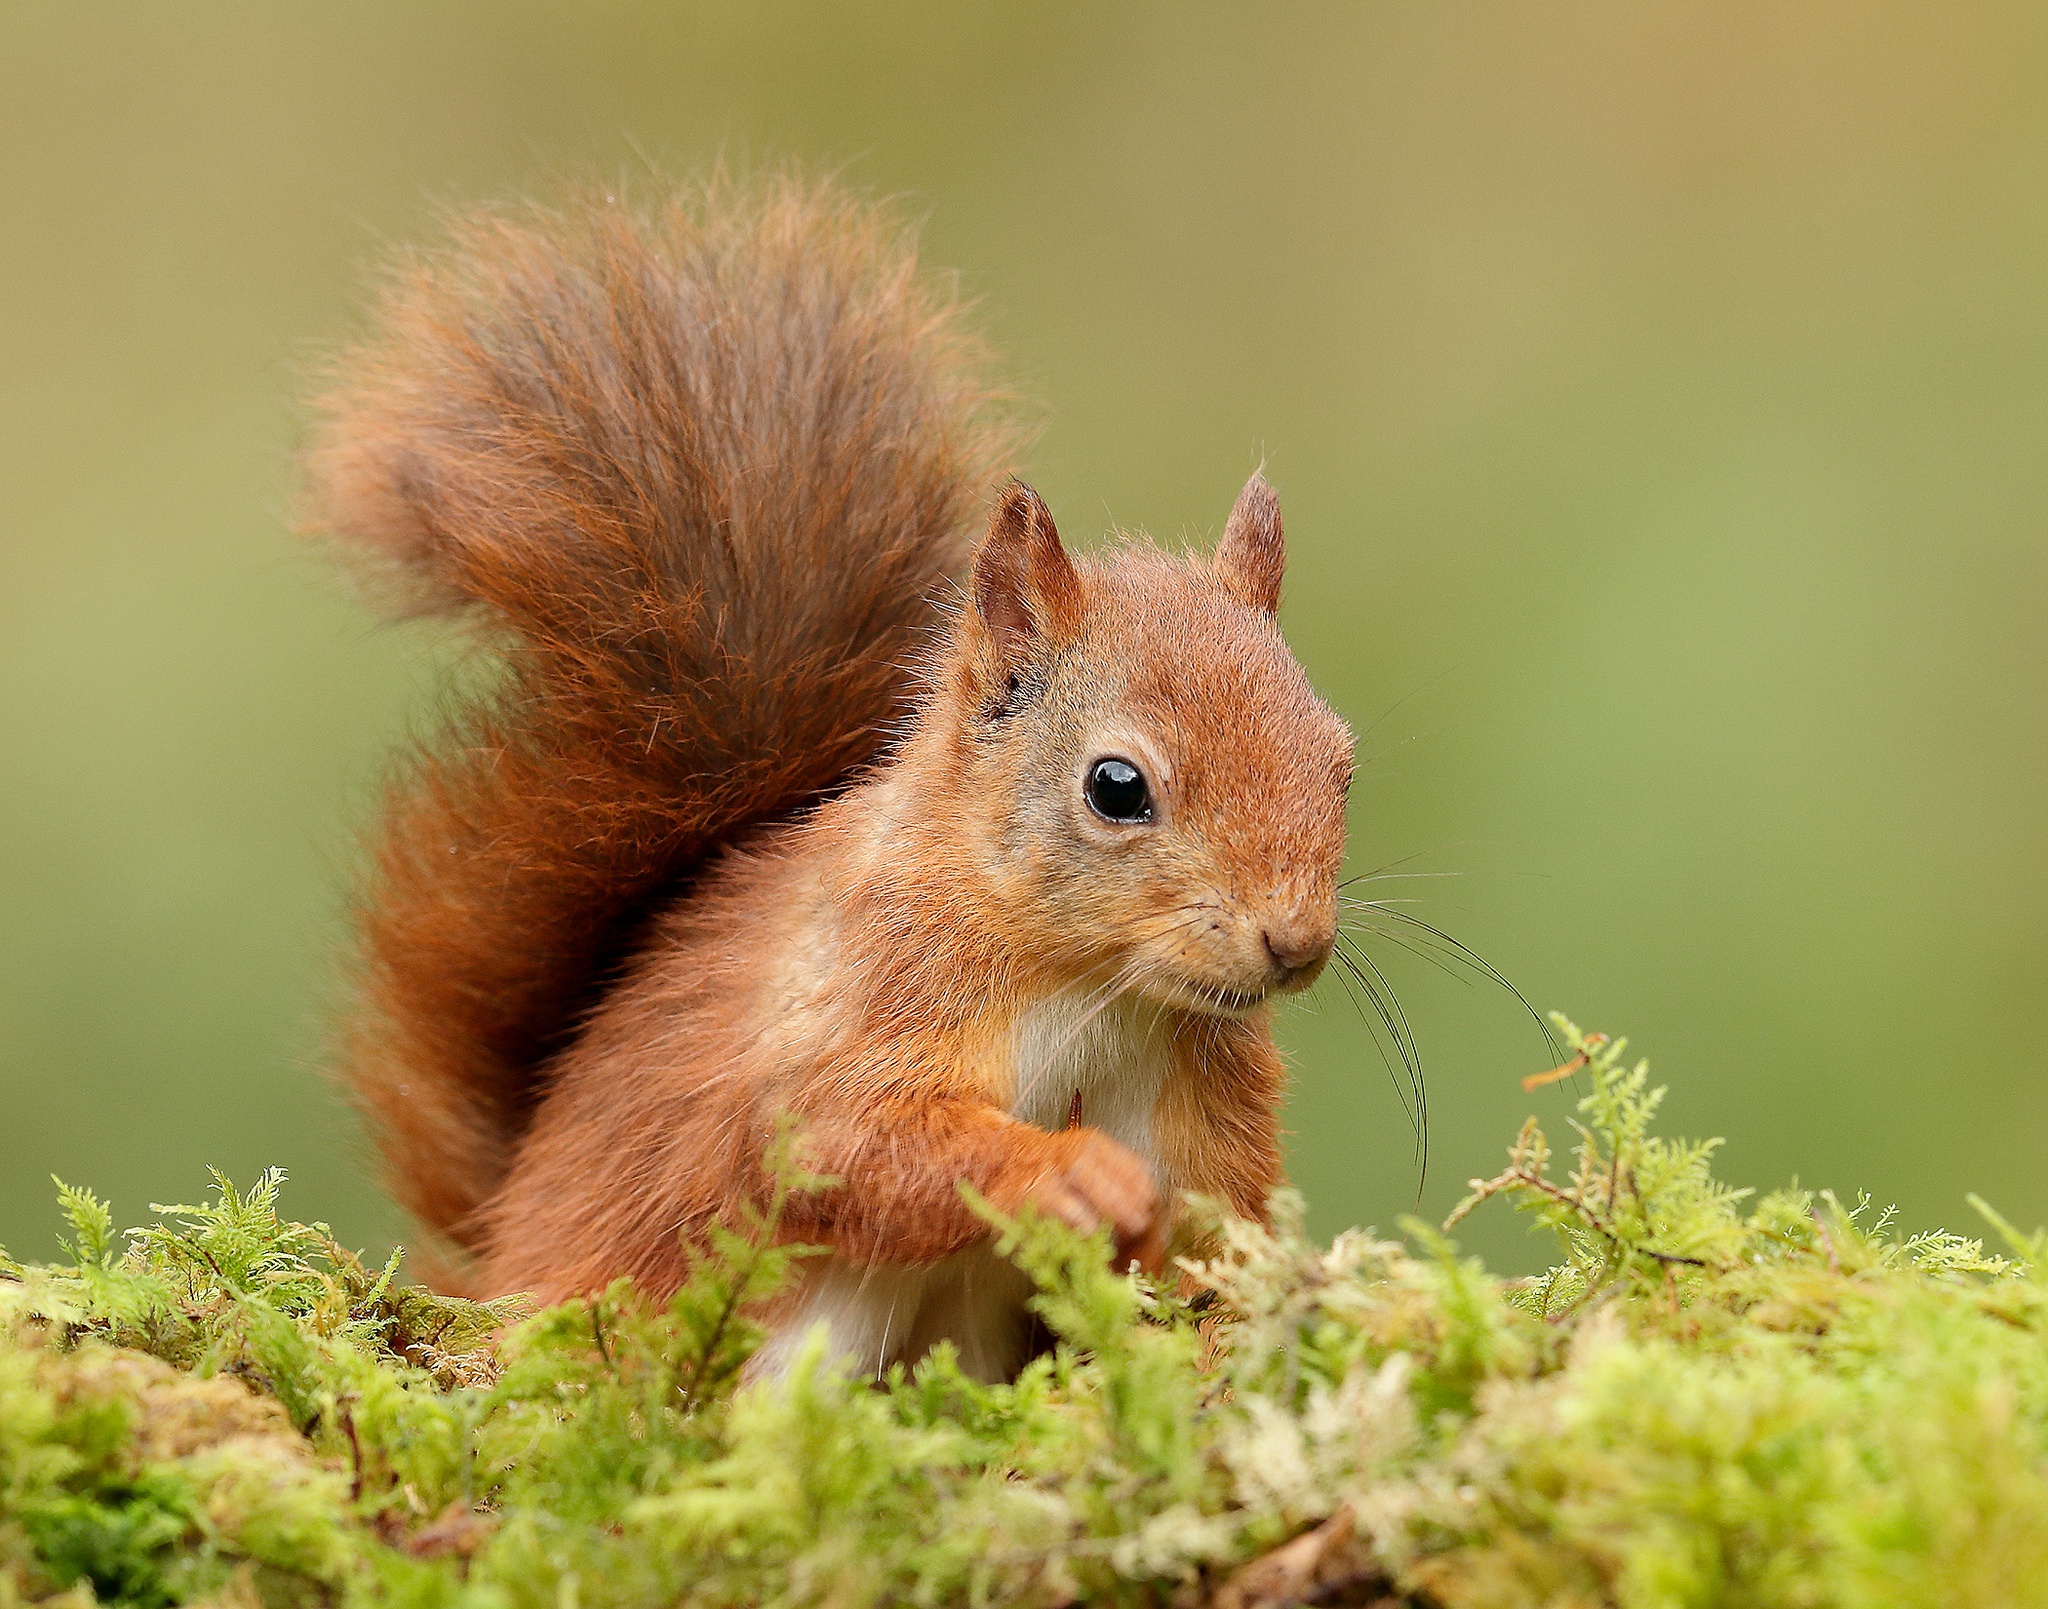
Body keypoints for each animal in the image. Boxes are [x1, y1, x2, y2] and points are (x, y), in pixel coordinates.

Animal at [303, 174, 1354, 1383]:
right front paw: (1066, 1173)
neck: (1094, 986)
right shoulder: (855, 996)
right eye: (1116, 787)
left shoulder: (1196, 1097)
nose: (1295, 942)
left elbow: (1215, 1235)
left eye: (1340, 761)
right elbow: (839, 1139)